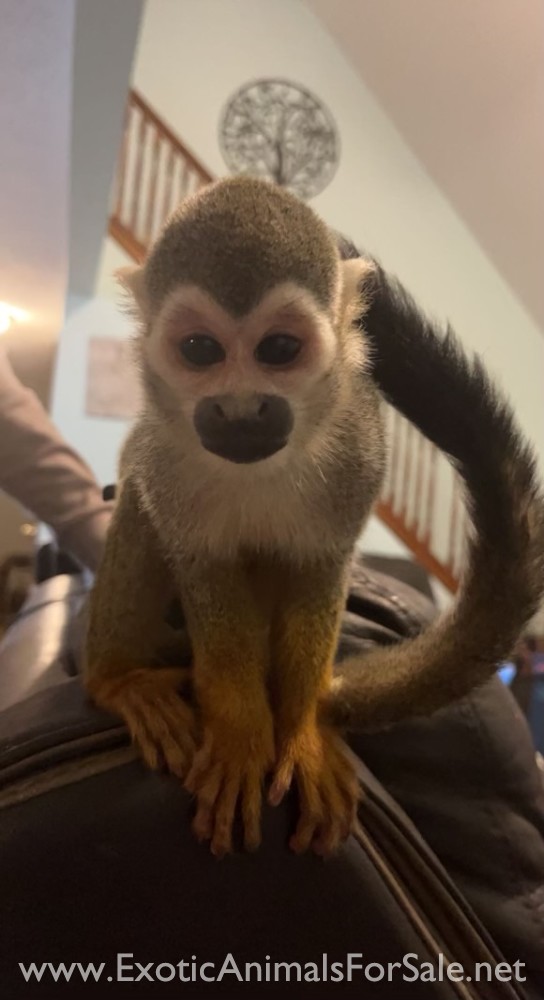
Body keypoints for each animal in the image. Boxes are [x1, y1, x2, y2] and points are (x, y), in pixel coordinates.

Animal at [84, 175, 385, 858]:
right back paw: (118, 679)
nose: (240, 410)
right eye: (201, 350)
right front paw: (243, 733)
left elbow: (320, 569)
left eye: (279, 349)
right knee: (138, 504)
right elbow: (204, 568)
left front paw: (302, 732)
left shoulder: (360, 452)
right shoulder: (165, 456)